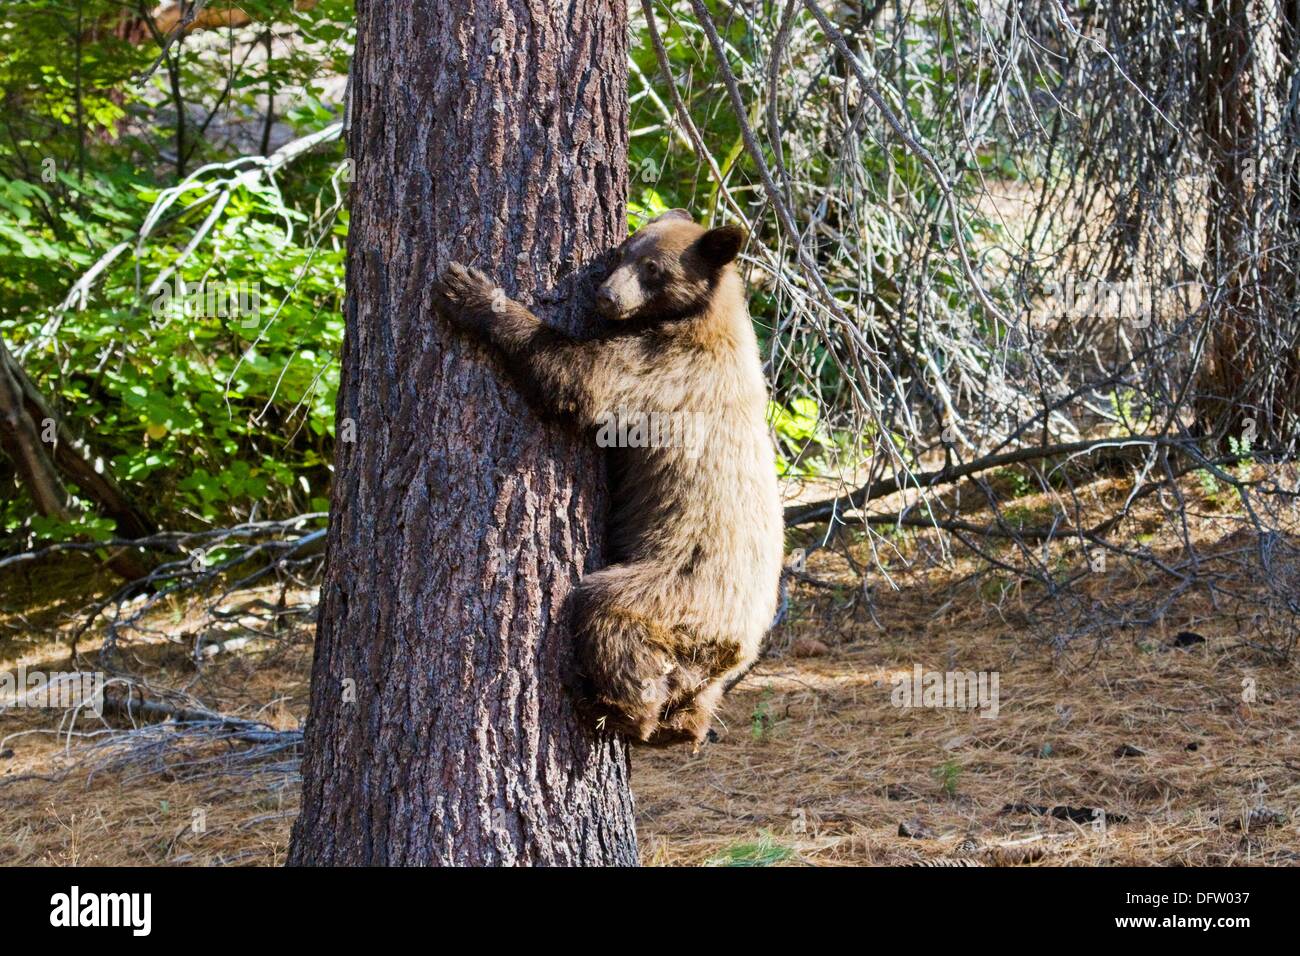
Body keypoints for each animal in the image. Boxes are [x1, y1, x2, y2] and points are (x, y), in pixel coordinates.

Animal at [431, 209, 784, 746]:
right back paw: (679, 727)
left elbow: (580, 378)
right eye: (622, 251)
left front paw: (472, 292)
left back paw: (605, 706)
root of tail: (739, 642)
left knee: (605, 614)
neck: (695, 317)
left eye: (654, 268)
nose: (605, 296)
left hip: (673, 589)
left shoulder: (661, 369)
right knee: (692, 699)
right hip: (701, 656)